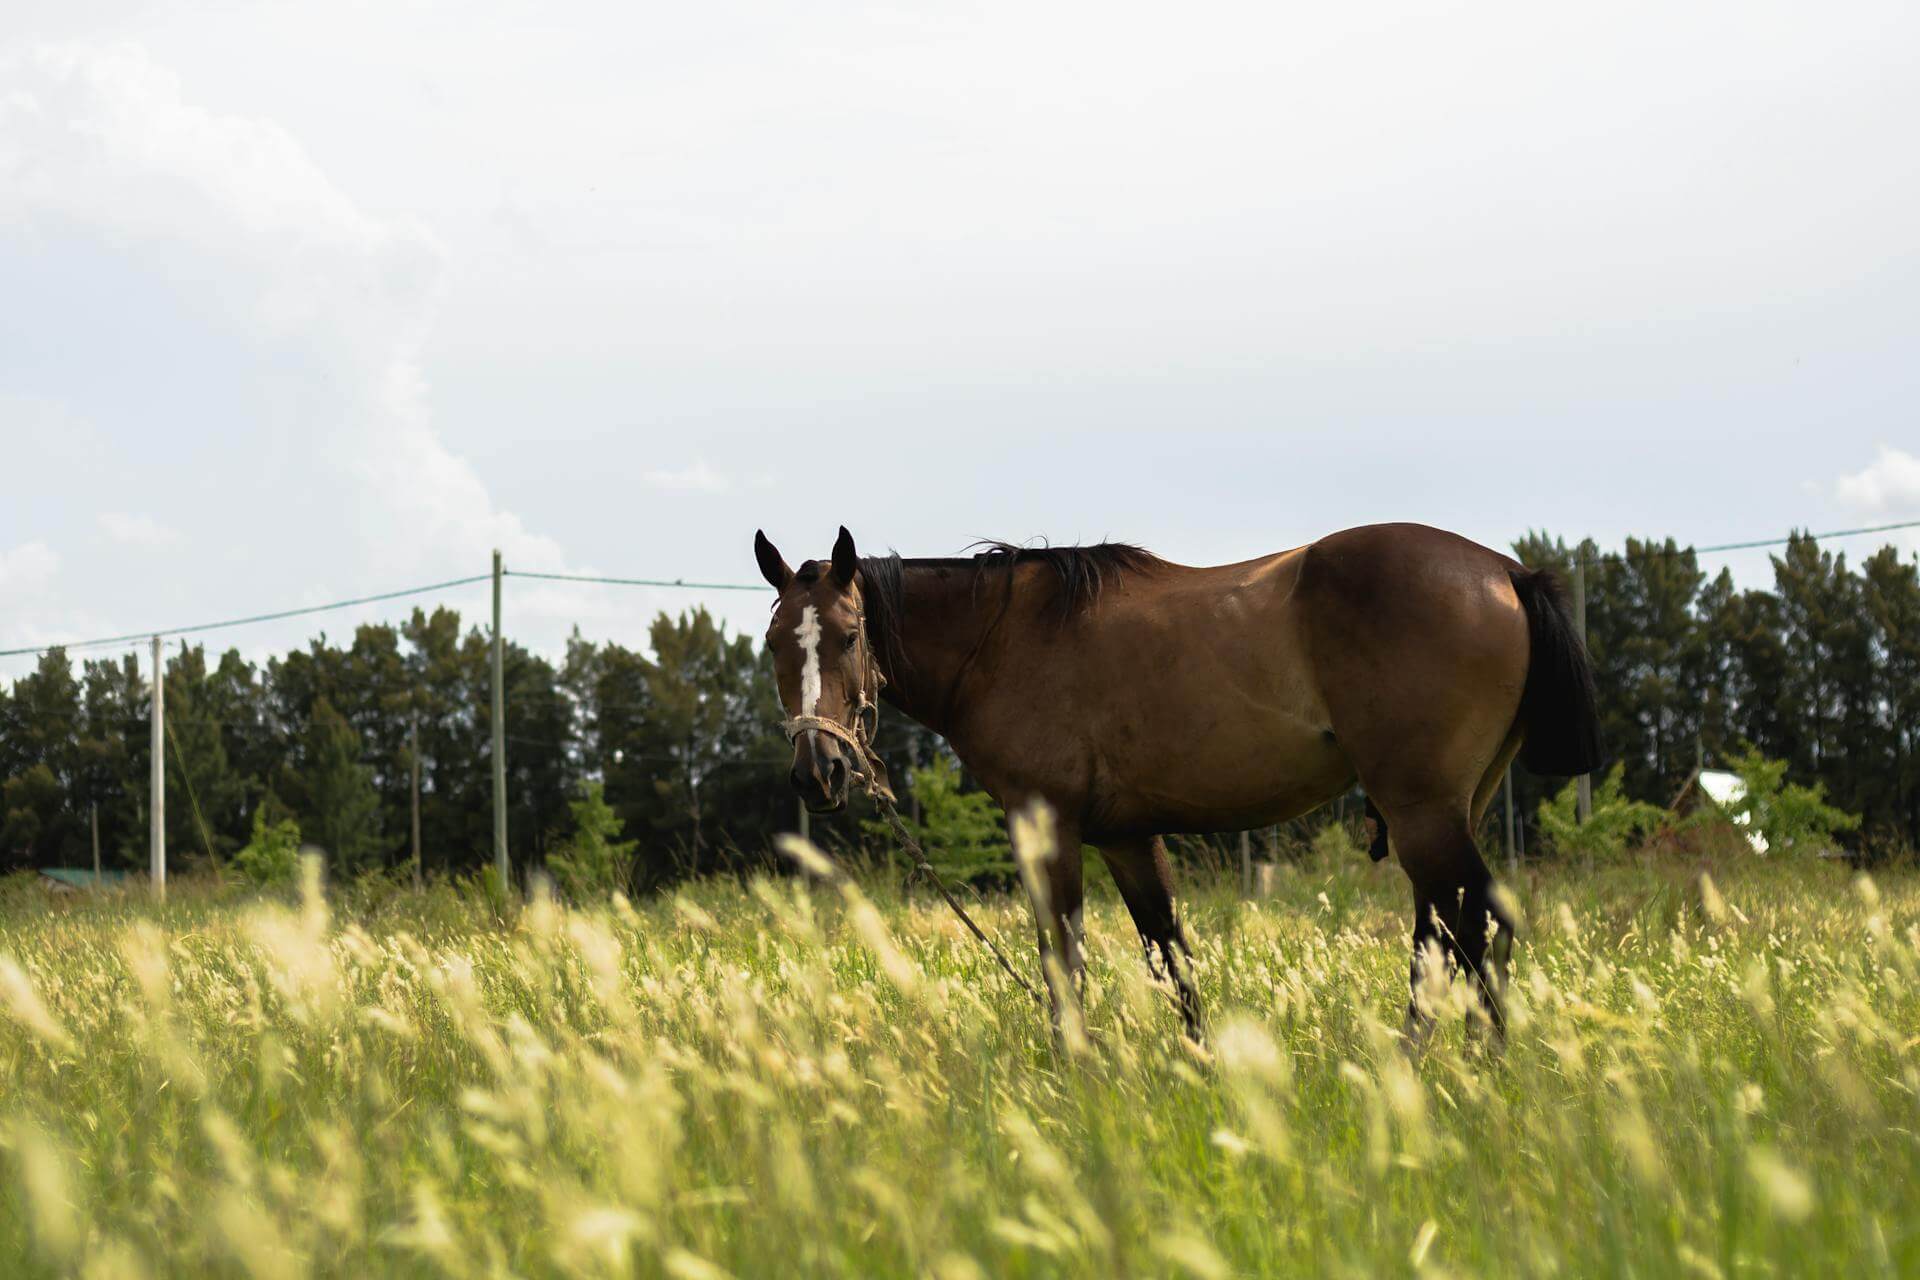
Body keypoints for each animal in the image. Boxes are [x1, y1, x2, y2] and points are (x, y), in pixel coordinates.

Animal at [752, 523, 1601, 1042]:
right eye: (772, 644)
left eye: (849, 636)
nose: (818, 771)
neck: (1000, 639)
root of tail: (1507, 571)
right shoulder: (1127, 838)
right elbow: (1172, 961)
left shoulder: (1048, 826)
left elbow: (1064, 961)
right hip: (1448, 810)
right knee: (1446, 937)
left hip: (1423, 811)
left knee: (1477, 930)